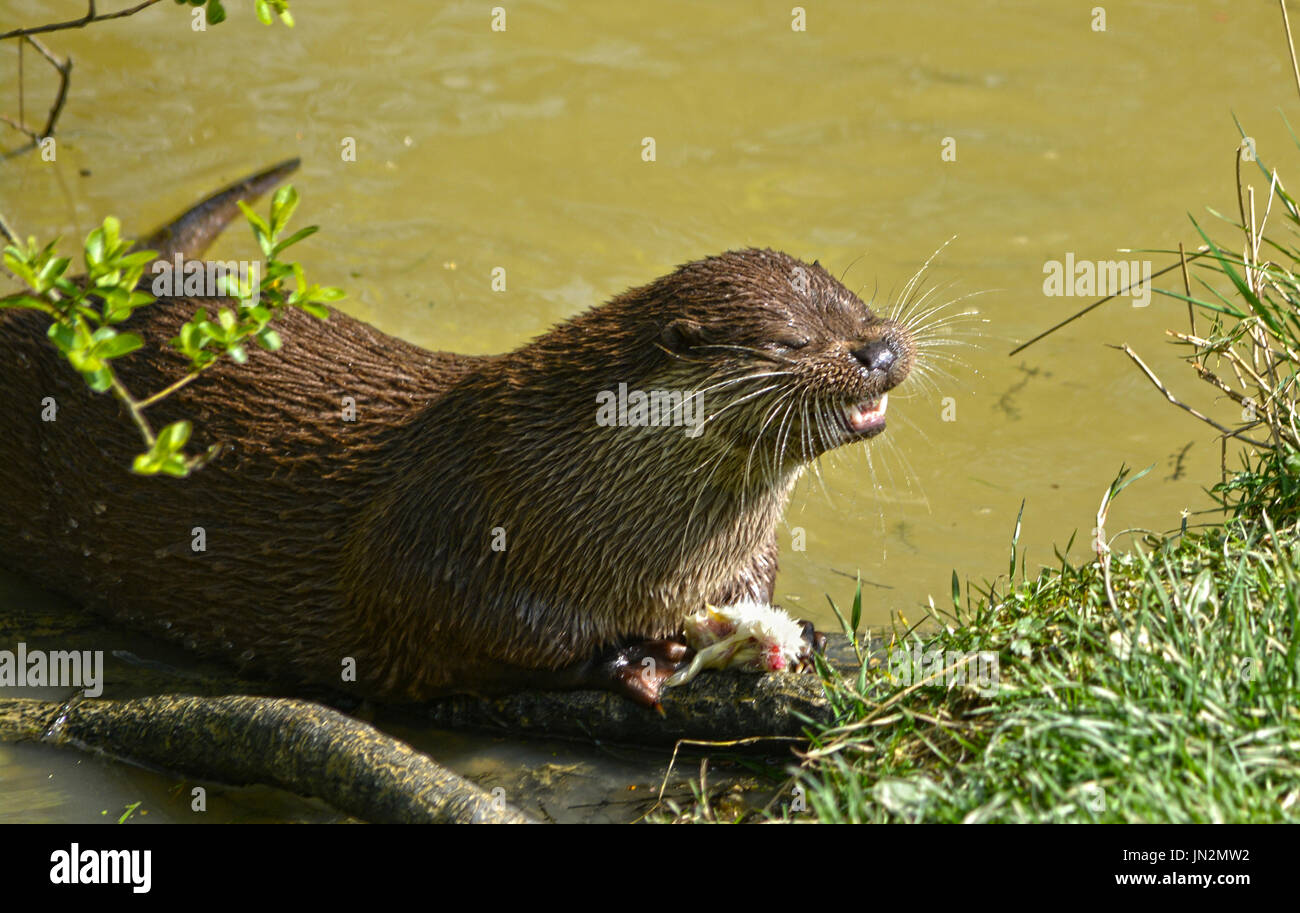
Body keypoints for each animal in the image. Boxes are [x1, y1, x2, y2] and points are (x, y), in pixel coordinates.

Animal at [0, 161, 914, 707]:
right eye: (792, 341)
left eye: (854, 300)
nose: (880, 348)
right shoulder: (440, 528)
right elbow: (468, 628)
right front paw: (626, 657)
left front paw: (794, 627)